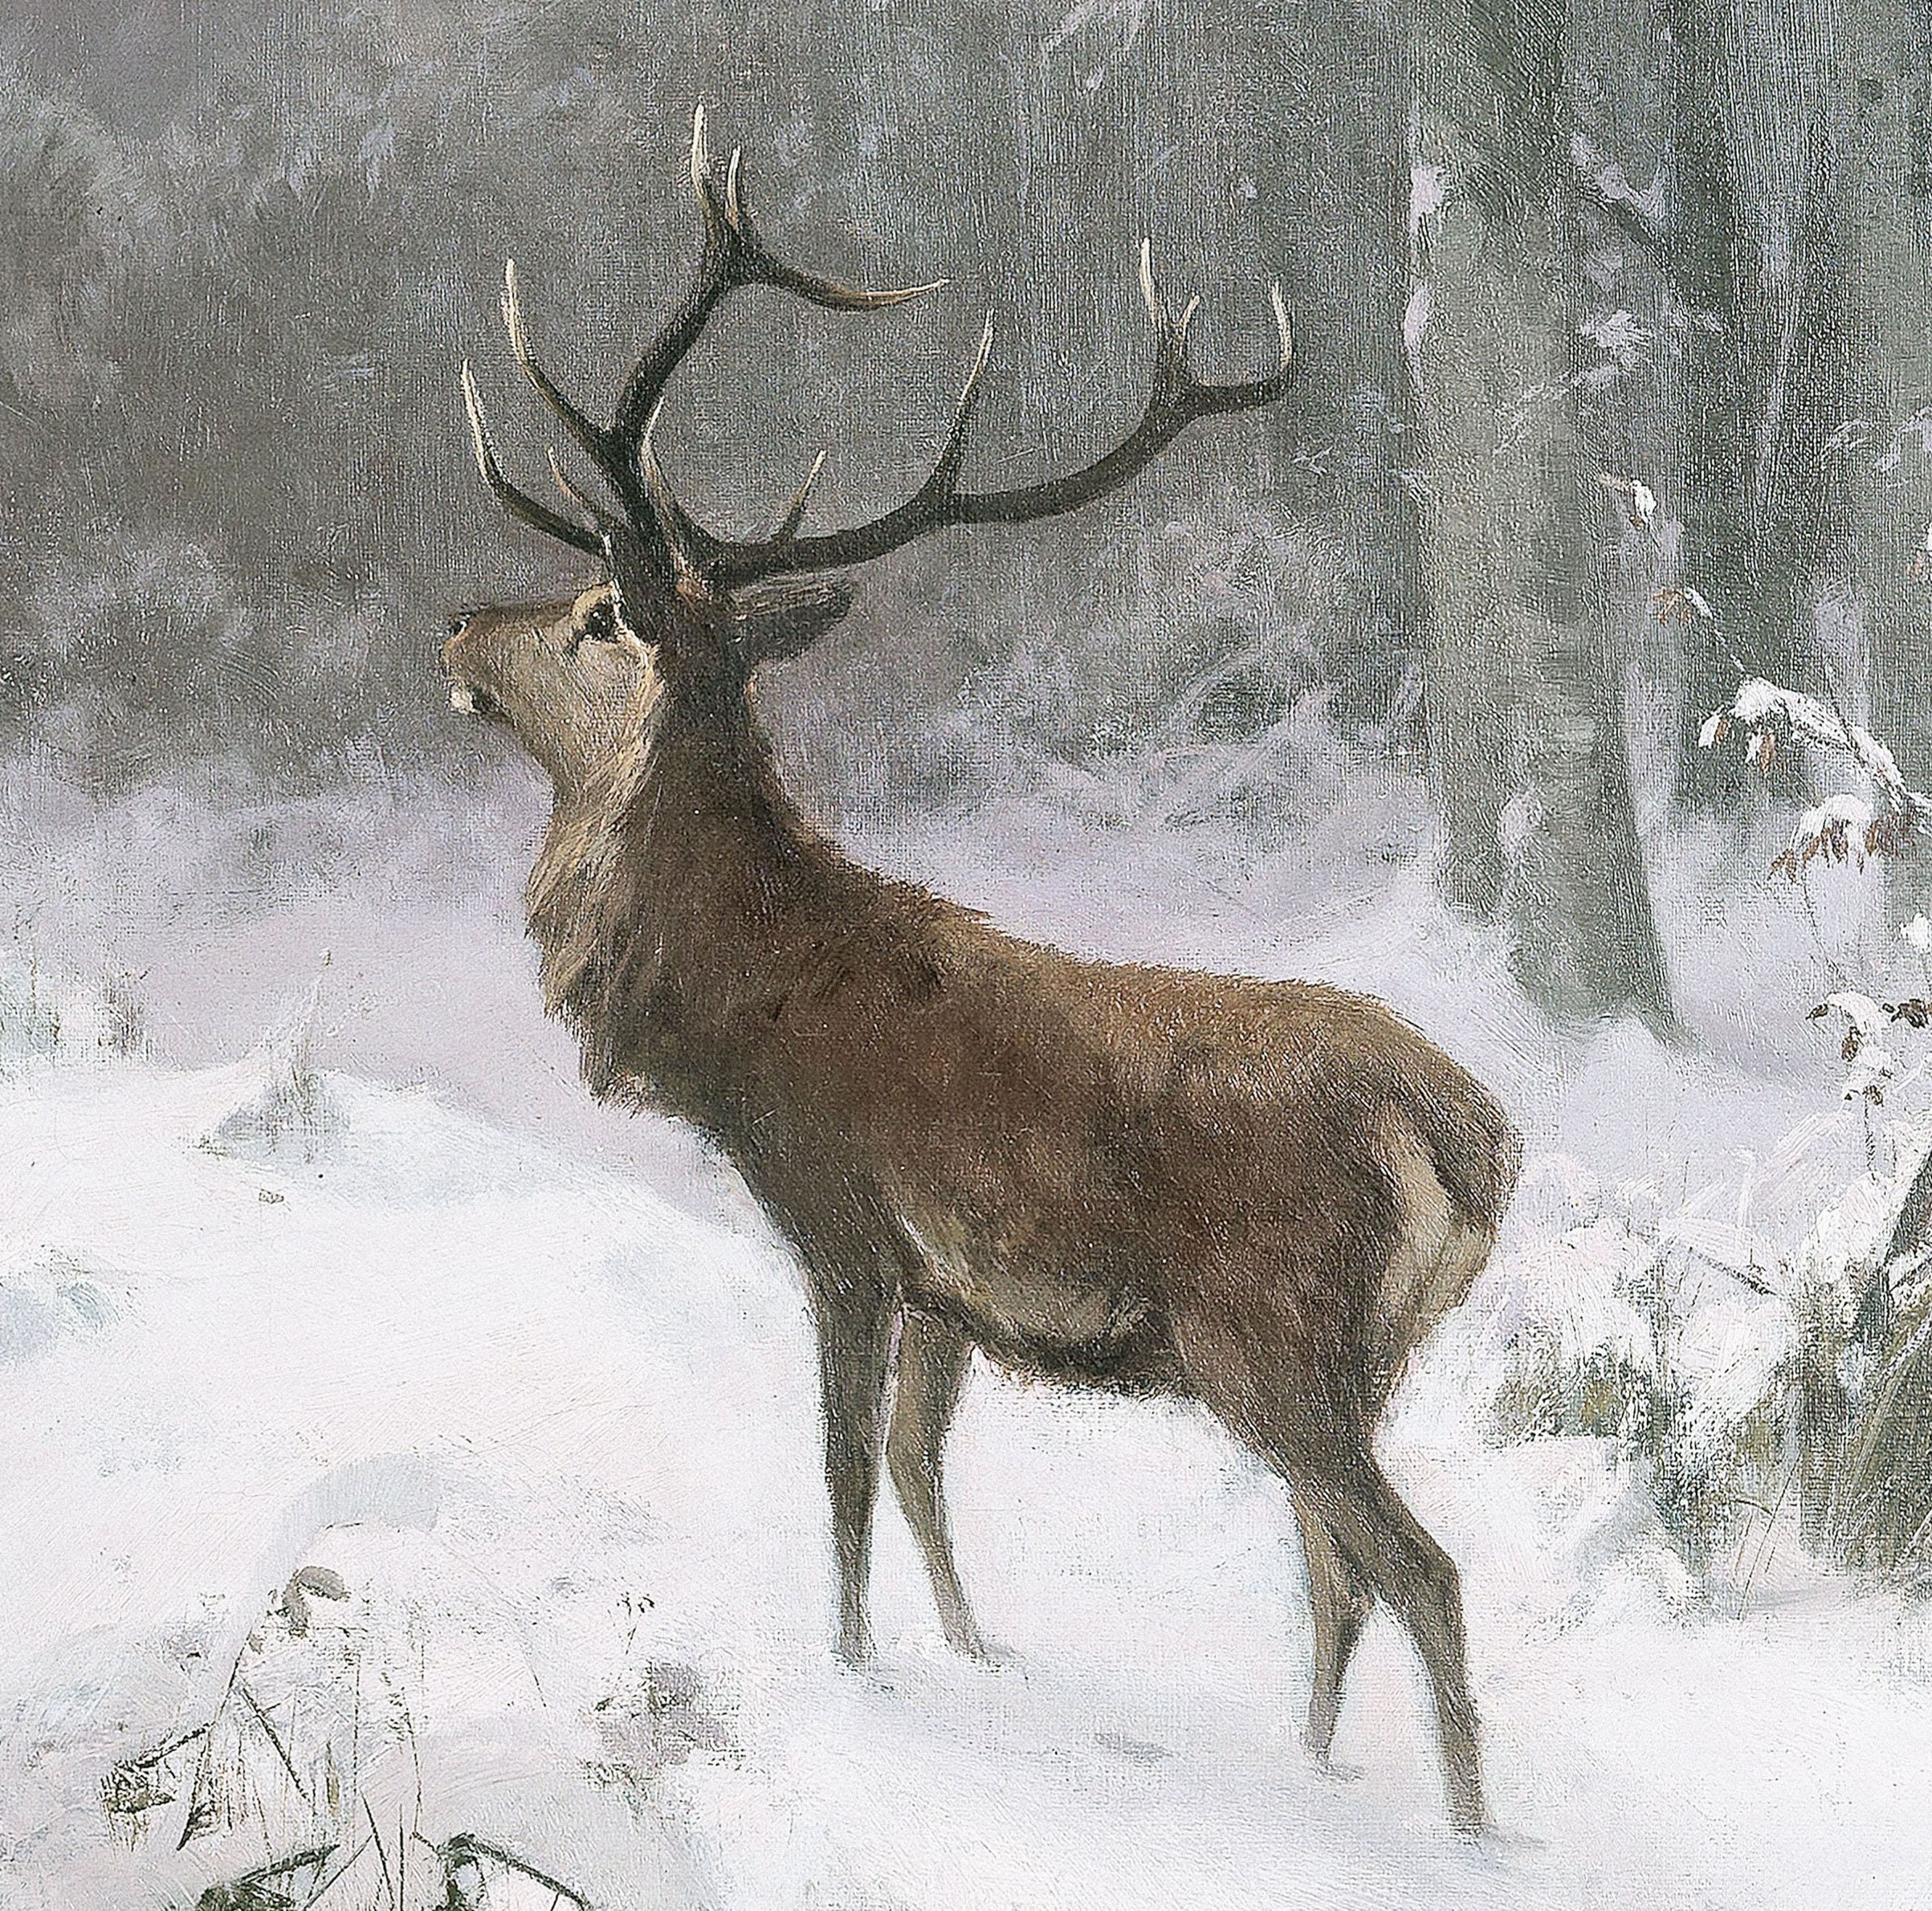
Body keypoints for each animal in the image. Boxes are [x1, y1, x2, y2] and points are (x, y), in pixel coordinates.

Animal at [442, 107, 1520, 1834]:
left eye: (600, 614)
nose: (461, 625)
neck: (746, 1001)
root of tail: (1470, 1141)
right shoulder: (951, 1287)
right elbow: (920, 1467)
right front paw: (971, 1652)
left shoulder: (839, 1225)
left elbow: (840, 1476)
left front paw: (853, 1670)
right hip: (1363, 1361)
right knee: (1334, 1565)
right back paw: (1313, 1771)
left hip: (1268, 1332)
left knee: (1416, 1569)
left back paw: (1470, 1835)